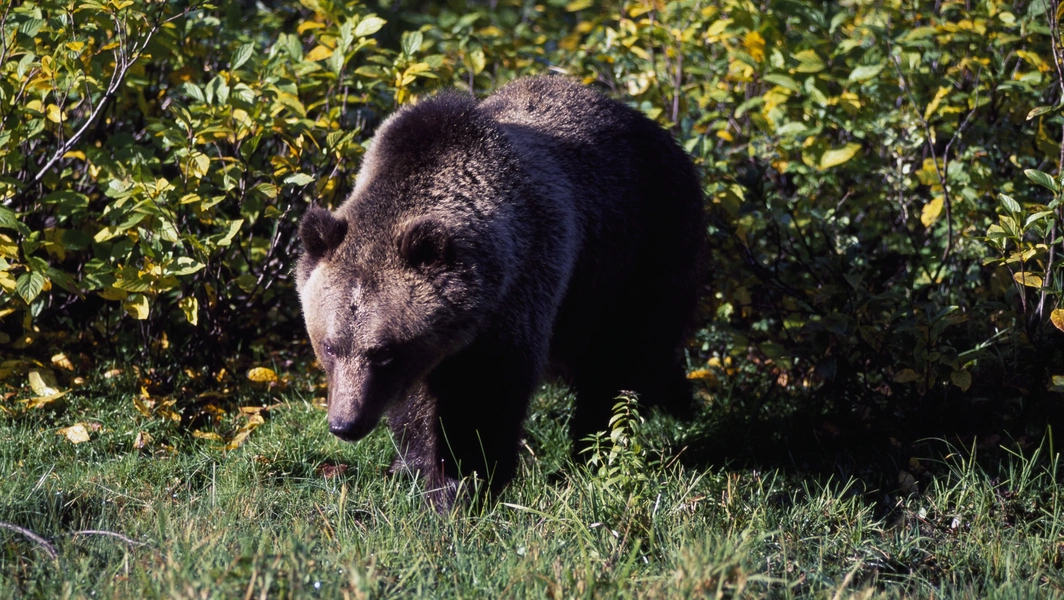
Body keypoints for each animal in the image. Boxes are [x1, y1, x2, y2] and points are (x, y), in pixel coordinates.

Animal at [297, 75, 705, 510]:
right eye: (329, 346)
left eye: (385, 352)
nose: (345, 423)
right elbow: (418, 405)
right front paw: (413, 466)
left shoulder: (519, 291)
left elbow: (485, 393)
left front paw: (463, 482)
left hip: (637, 255)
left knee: (620, 363)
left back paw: (596, 450)